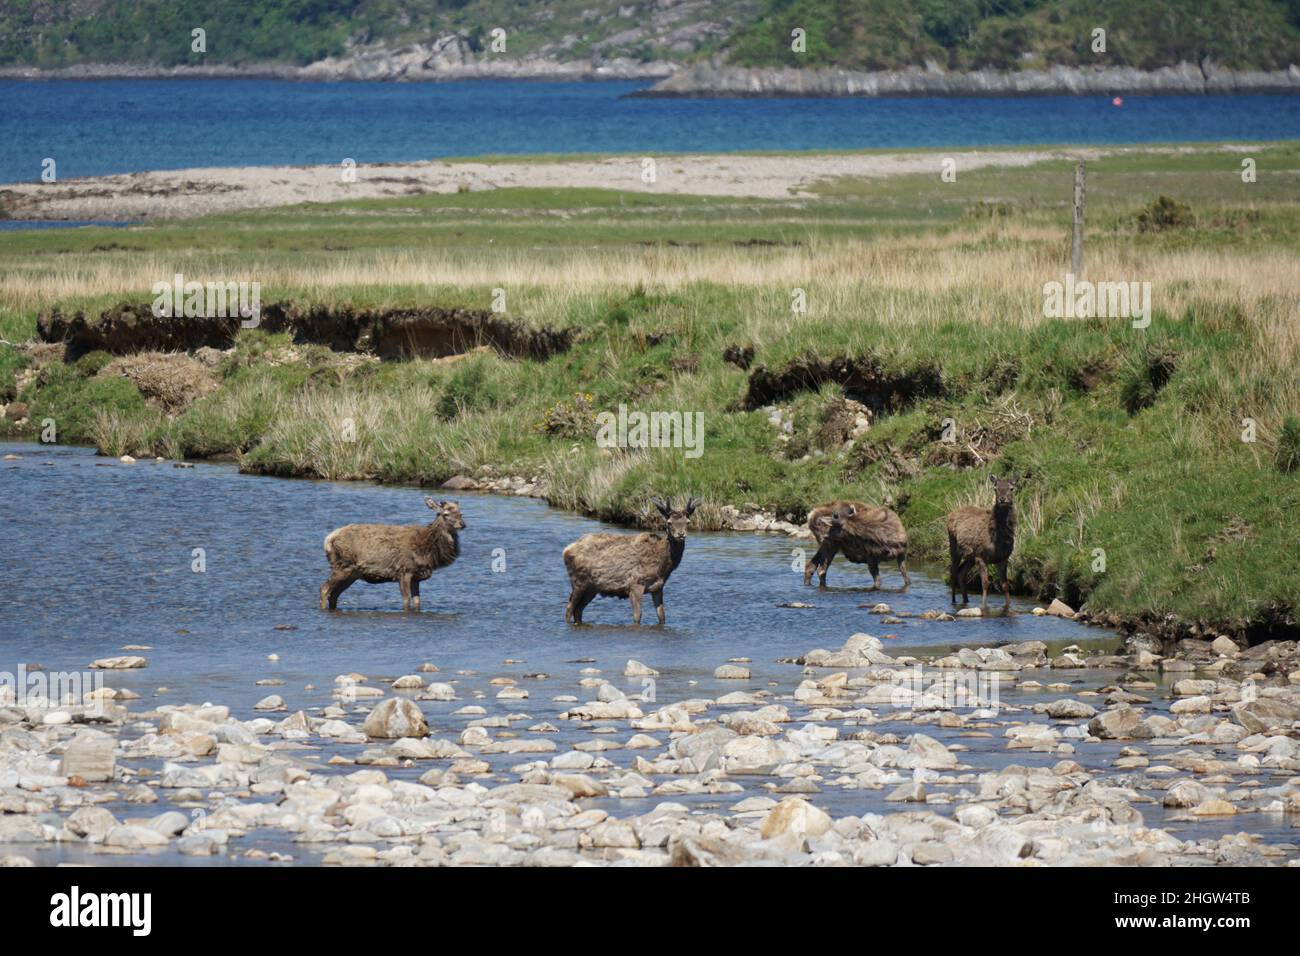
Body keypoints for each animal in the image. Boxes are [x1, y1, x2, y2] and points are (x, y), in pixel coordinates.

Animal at [320, 497, 466, 612]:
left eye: (461, 513)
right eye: (445, 514)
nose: (462, 524)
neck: (428, 551)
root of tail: (328, 539)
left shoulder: (417, 576)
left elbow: (417, 602)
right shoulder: (404, 571)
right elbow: (406, 601)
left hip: (352, 573)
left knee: (334, 594)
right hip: (342, 566)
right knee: (324, 588)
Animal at [562, 497, 698, 625]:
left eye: (688, 522)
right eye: (669, 522)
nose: (681, 534)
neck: (662, 567)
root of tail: (566, 550)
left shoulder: (658, 587)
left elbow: (662, 616)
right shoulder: (635, 583)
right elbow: (637, 617)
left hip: (592, 588)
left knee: (578, 610)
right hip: (578, 581)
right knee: (569, 608)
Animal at [946, 475, 1017, 613]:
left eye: (1011, 488)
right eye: (995, 488)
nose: (1002, 499)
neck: (997, 540)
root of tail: (952, 513)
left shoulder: (1003, 558)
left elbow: (1005, 585)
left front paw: (1008, 606)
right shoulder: (981, 555)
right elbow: (985, 583)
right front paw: (984, 607)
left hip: (970, 556)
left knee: (961, 573)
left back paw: (966, 600)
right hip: (954, 546)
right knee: (953, 572)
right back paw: (953, 601)